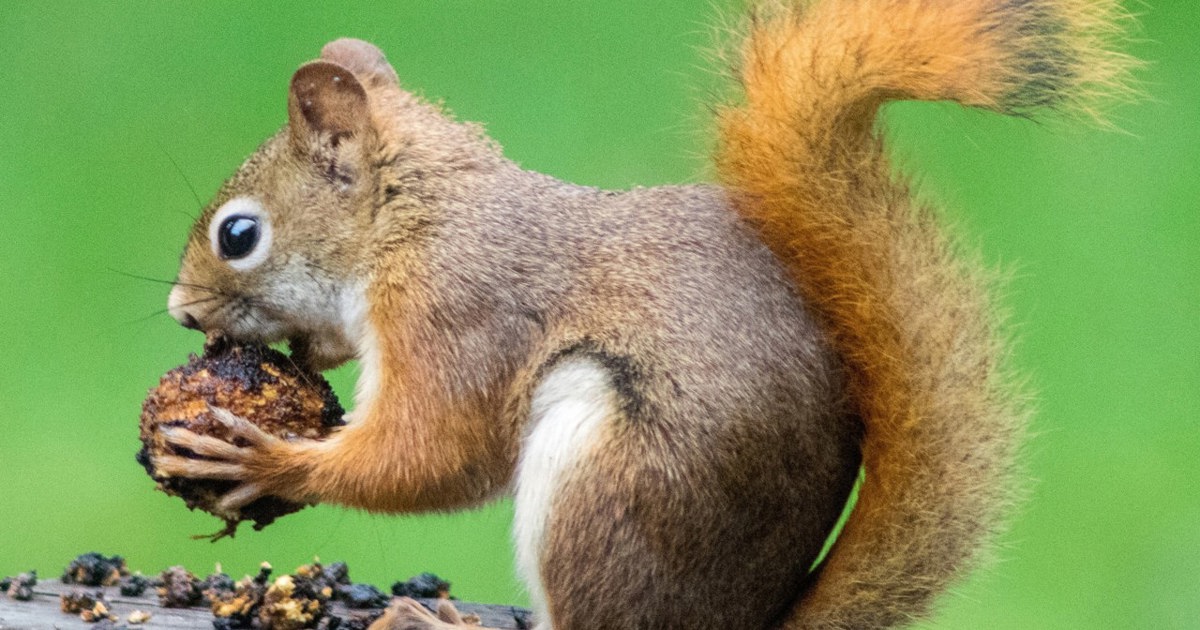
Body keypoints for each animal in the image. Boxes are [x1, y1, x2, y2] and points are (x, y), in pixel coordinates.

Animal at [153, 0, 1130, 628]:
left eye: (239, 235)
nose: (179, 312)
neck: (415, 219)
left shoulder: (458, 313)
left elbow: (435, 453)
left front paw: (266, 458)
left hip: (608, 485)